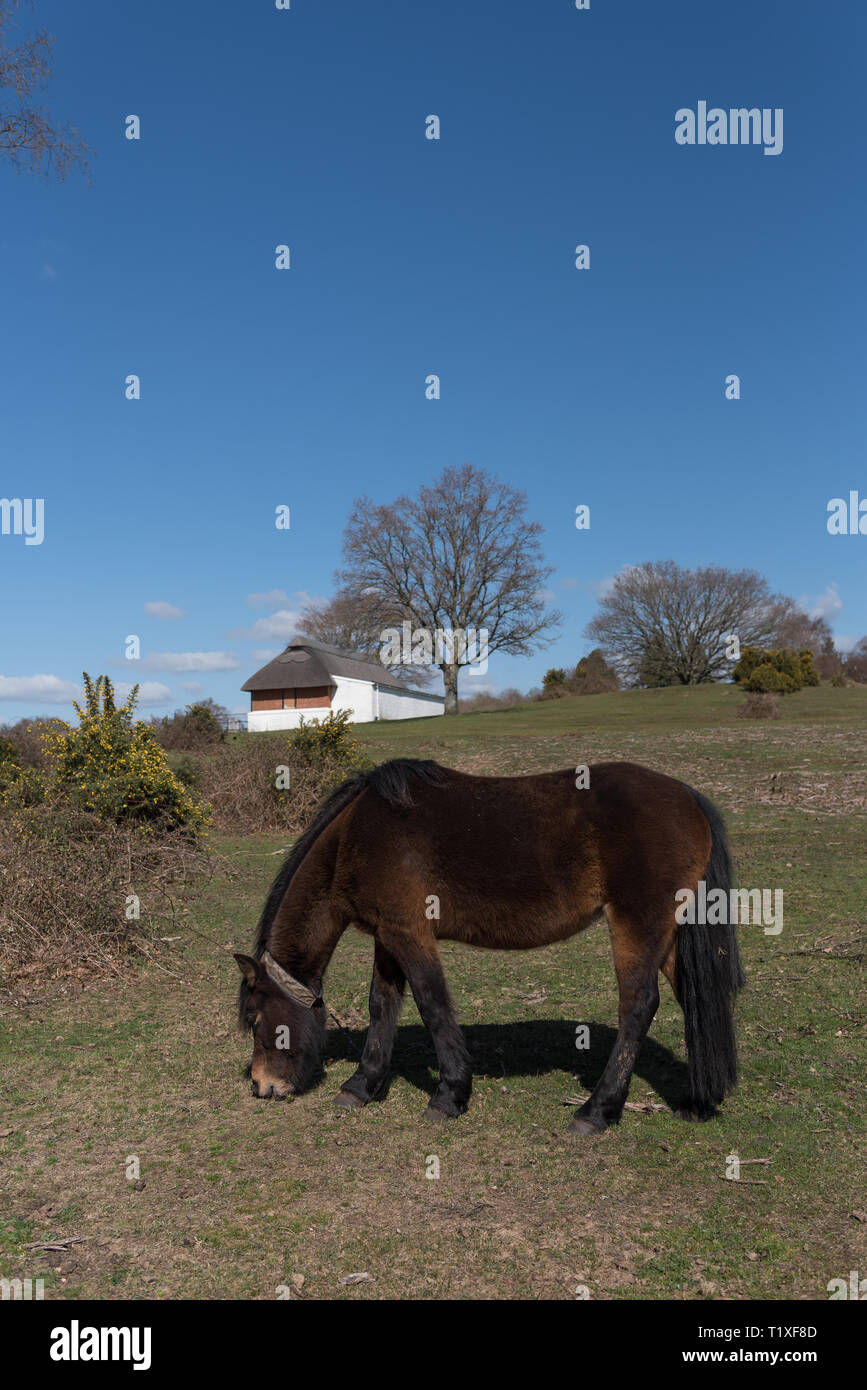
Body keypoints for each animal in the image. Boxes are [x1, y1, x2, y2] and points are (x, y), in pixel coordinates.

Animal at [235, 758, 745, 1137]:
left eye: (256, 1019)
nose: (262, 1086)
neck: (355, 836)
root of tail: (690, 798)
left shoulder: (409, 933)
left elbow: (432, 1004)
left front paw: (449, 1095)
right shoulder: (388, 935)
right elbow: (383, 1004)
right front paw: (362, 1085)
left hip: (637, 926)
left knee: (638, 1007)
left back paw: (596, 1111)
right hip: (668, 935)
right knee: (695, 1000)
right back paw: (698, 1101)